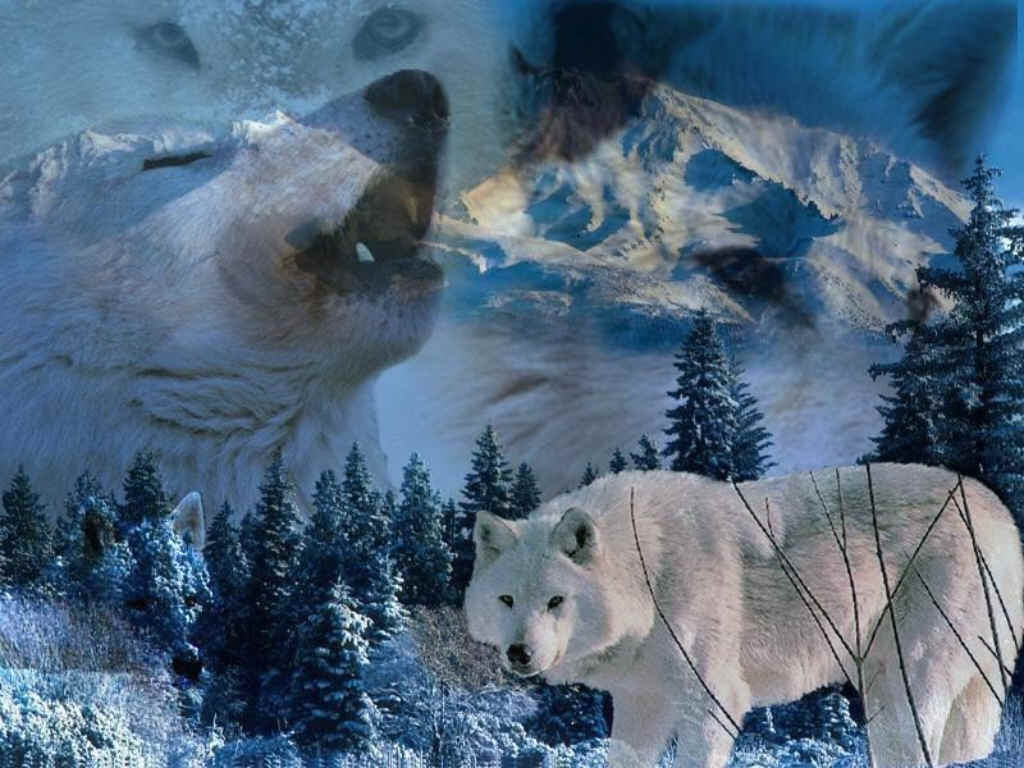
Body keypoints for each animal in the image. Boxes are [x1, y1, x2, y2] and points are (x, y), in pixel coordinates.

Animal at [465, 463, 1024, 768]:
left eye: (556, 601)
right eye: (507, 600)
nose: (519, 653)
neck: (651, 573)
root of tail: (999, 511)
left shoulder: (716, 701)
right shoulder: (641, 702)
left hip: (905, 682)